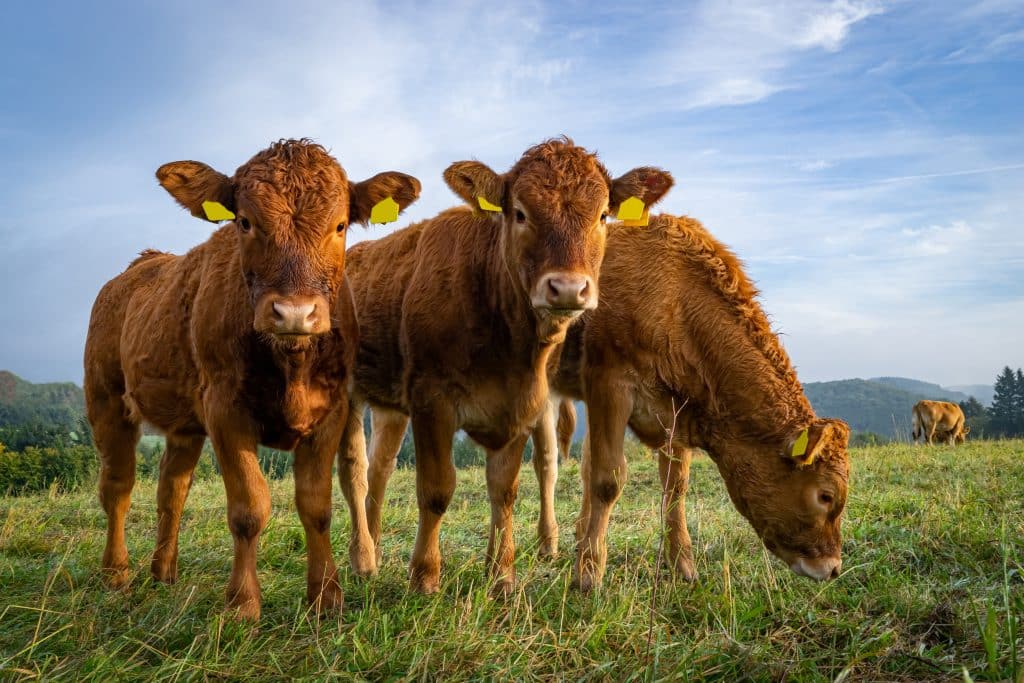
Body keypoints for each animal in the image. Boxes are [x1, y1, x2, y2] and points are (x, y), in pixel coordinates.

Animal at [83, 139, 420, 620]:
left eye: (340, 225)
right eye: (244, 221)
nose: (295, 312)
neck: (291, 364)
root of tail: (138, 265)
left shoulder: (331, 410)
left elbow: (316, 505)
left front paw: (326, 596)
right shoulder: (225, 410)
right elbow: (248, 508)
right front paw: (243, 602)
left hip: (184, 423)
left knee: (172, 487)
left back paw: (163, 571)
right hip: (106, 400)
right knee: (117, 488)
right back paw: (116, 573)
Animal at [336, 138, 674, 595]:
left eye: (603, 214)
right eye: (520, 212)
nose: (569, 287)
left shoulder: (522, 403)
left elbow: (504, 489)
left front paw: (501, 575)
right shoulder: (431, 401)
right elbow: (436, 488)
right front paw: (424, 576)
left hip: (390, 403)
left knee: (380, 467)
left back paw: (373, 547)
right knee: (354, 471)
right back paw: (362, 558)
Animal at [524, 213, 851, 590]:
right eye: (825, 495)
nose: (832, 568)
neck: (674, 300)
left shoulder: (677, 407)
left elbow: (675, 487)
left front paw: (683, 566)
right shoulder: (610, 383)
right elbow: (608, 479)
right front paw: (589, 574)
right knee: (547, 465)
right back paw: (547, 544)